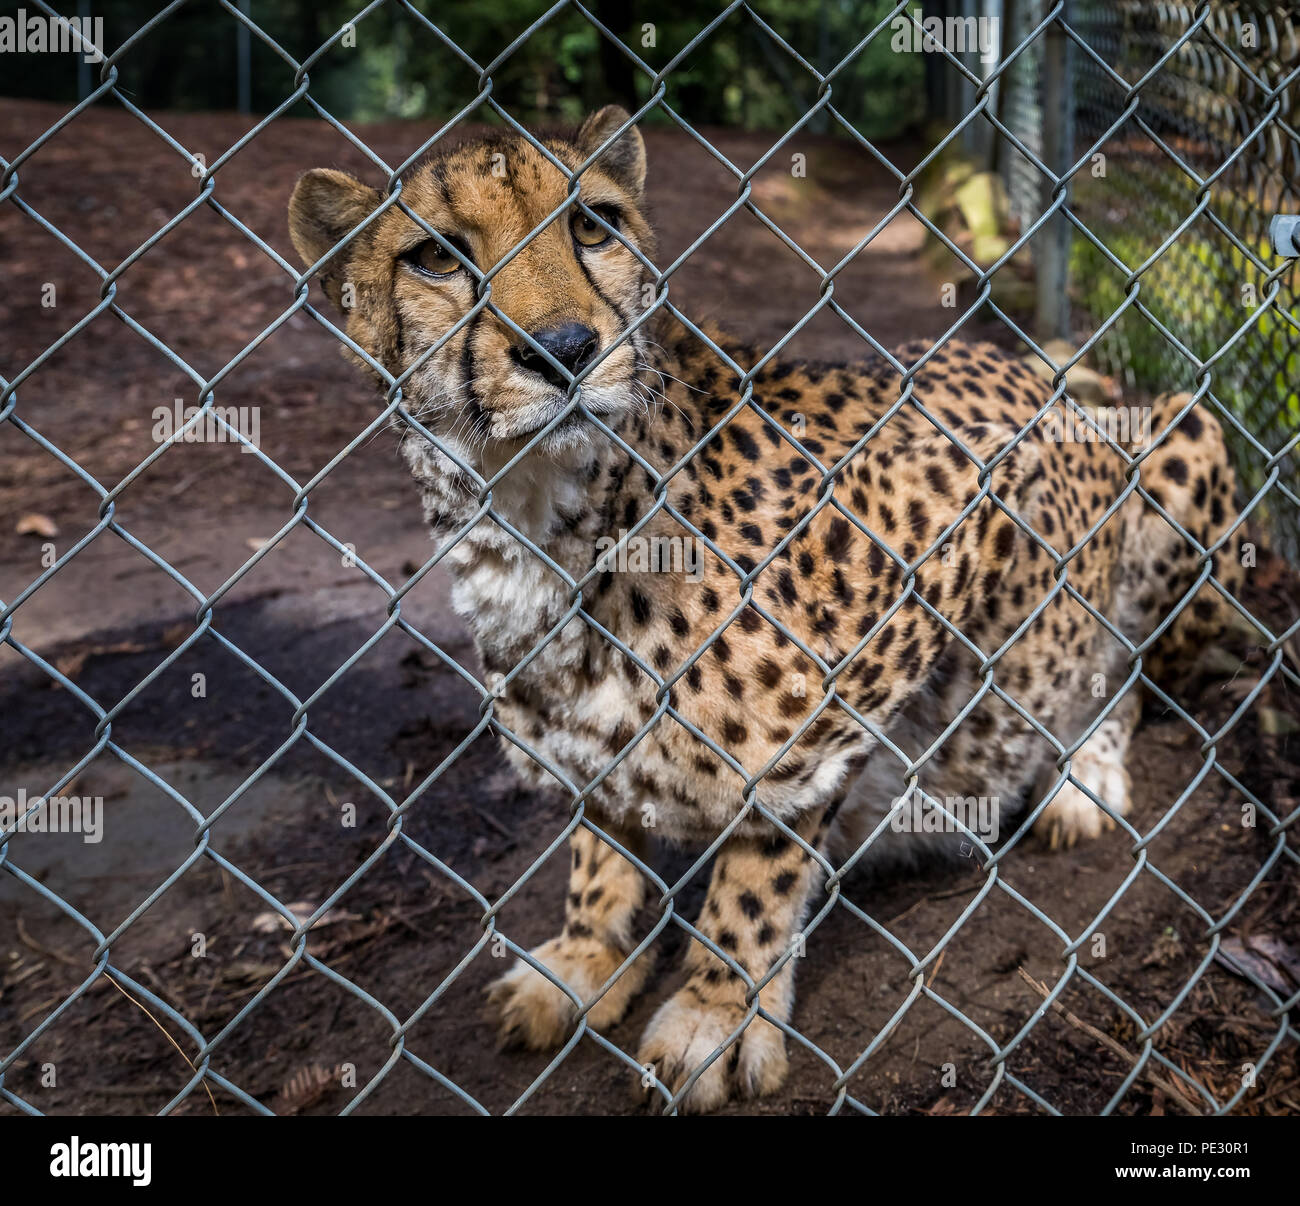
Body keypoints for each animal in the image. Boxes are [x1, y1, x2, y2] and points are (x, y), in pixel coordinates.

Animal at [288, 105, 1245, 1112]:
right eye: (435, 257)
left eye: (593, 225)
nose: (566, 349)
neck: (538, 519)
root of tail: (1039, 361)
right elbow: (600, 841)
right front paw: (585, 960)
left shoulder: (938, 530)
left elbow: (763, 851)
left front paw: (715, 1009)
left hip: (1181, 431)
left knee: (1124, 663)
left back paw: (1081, 774)